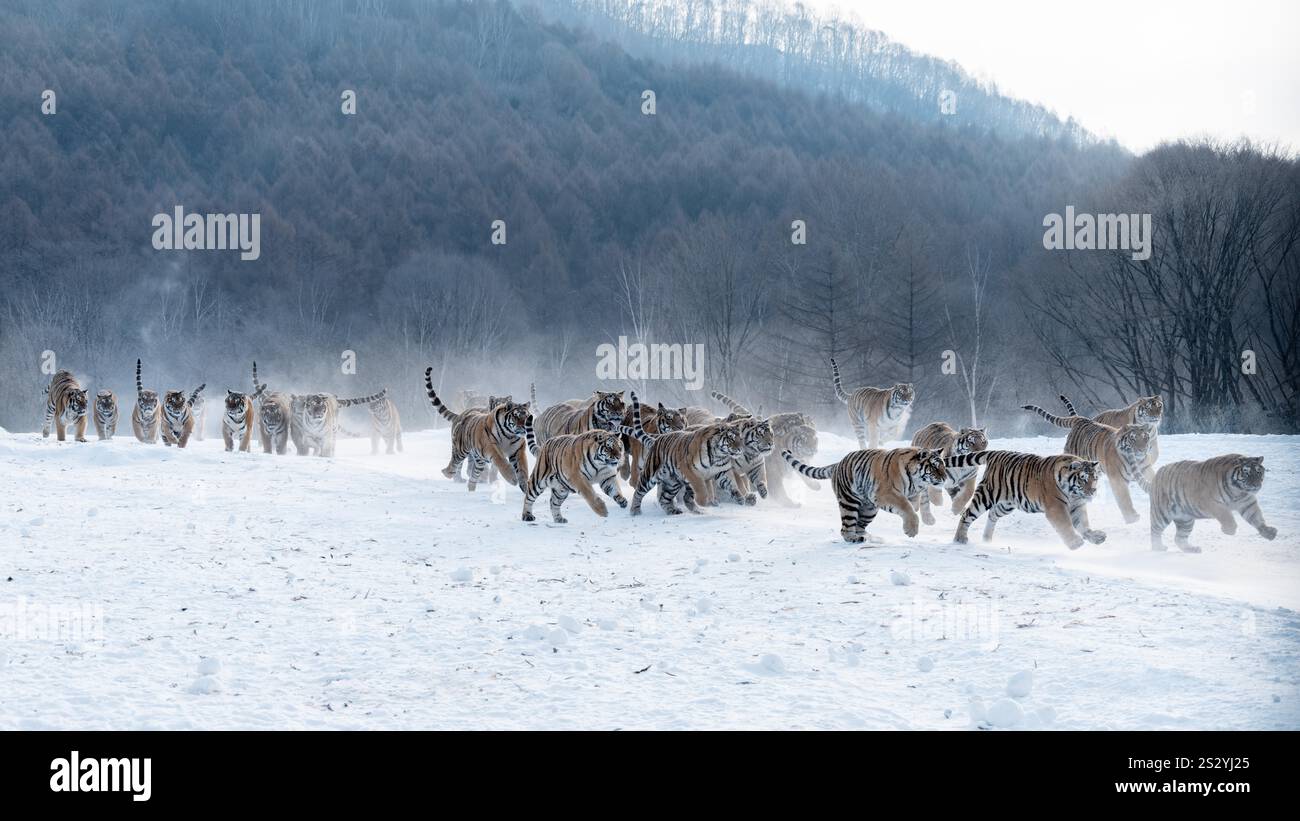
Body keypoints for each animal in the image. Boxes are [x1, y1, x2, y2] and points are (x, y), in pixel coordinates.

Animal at [782, 446, 946, 543]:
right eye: (934, 466)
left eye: (943, 465)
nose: (944, 478)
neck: (916, 481)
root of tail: (837, 464)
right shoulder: (887, 493)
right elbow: (907, 507)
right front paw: (911, 530)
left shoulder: (912, 494)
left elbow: (914, 506)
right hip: (849, 502)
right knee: (846, 528)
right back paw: (854, 538)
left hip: (869, 509)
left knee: (859, 525)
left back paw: (870, 537)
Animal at [942, 450, 1104, 550]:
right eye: (1083, 479)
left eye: (1095, 478)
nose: (1093, 491)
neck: (1073, 493)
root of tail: (995, 453)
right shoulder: (1056, 507)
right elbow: (1066, 526)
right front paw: (1075, 543)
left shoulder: (1077, 506)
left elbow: (1083, 524)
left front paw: (1097, 537)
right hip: (986, 495)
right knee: (967, 514)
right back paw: (960, 539)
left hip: (1006, 504)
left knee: (992, 514)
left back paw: (987, 539)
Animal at [1022, 404, 1152, 523]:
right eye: (1133, 438)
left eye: (1145, 437)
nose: (1142, 450)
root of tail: (1080, 419)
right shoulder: (1117, 479)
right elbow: (1124, 498)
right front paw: (1132, 517)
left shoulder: (1146, 469)